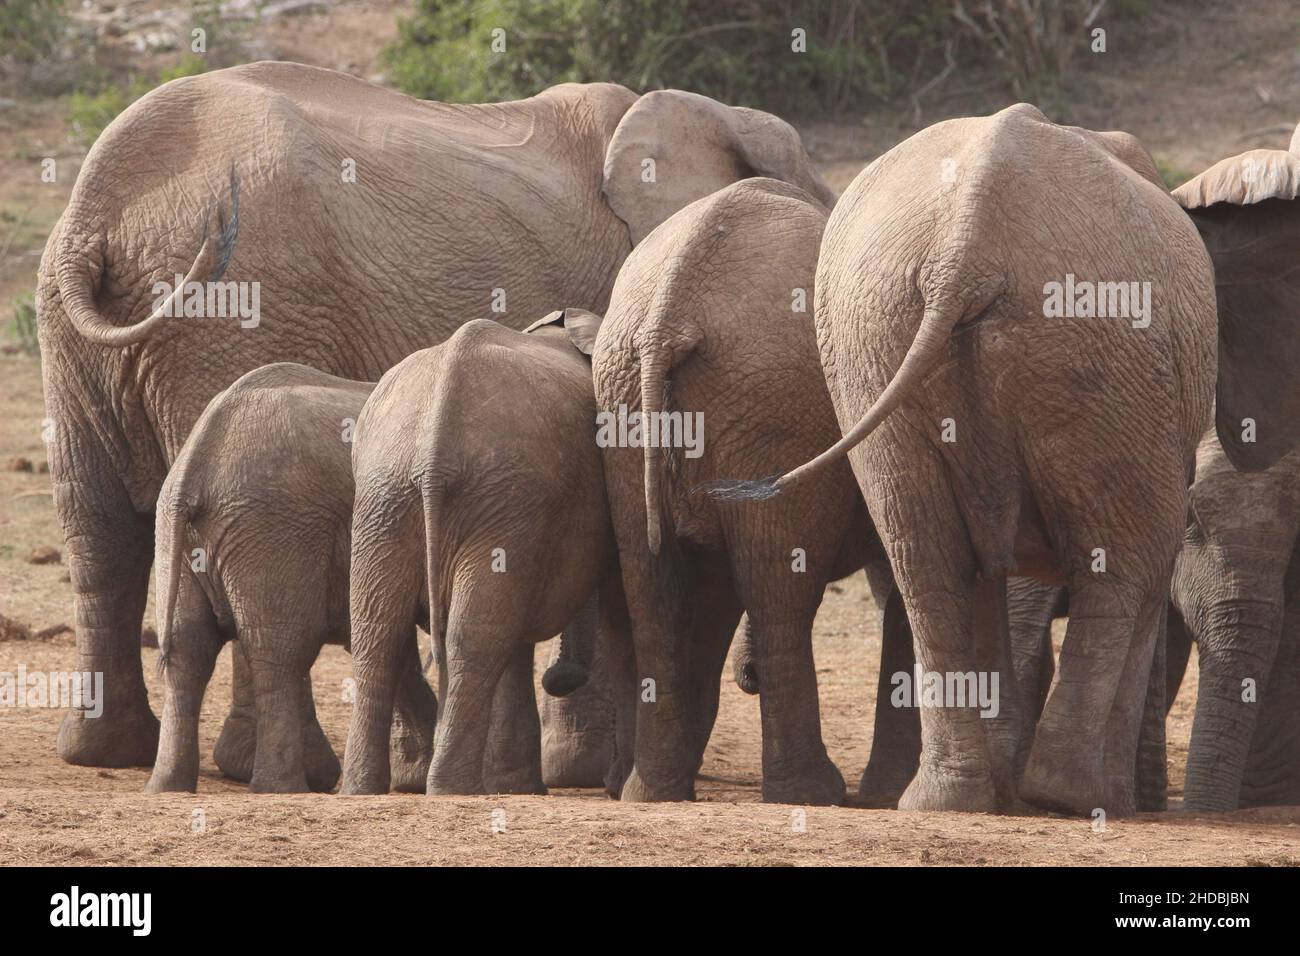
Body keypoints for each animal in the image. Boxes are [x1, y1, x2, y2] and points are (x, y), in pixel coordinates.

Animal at [144, 363, 439, 793]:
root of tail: (197, 459)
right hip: (276, 529)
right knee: (281, 650)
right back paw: (282, 787)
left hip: (176, 535)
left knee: (189, 649)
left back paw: (168, 788)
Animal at [340, 313, 634, 796]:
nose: (561, 678)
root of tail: (435, 449)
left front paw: (518, 788)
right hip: (479, 495)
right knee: (470, 635)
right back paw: (449, 790)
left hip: (391, 499)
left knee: (380, 631)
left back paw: (365, 790)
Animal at [590, 177, 879, 805]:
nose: (747, 678)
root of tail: (667, 314)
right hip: (776, 405)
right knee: (778, 591)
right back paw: (810, 793)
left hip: (629, 404)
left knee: (653, 584)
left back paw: (652, 793)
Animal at [712, 104, 1215, 816]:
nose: (748, 676)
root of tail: (964, 252)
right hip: (1100, 350)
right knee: (1125, 562)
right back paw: (1073, 799)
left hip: (878, 343)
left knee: (928, 561)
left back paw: (955, 800)